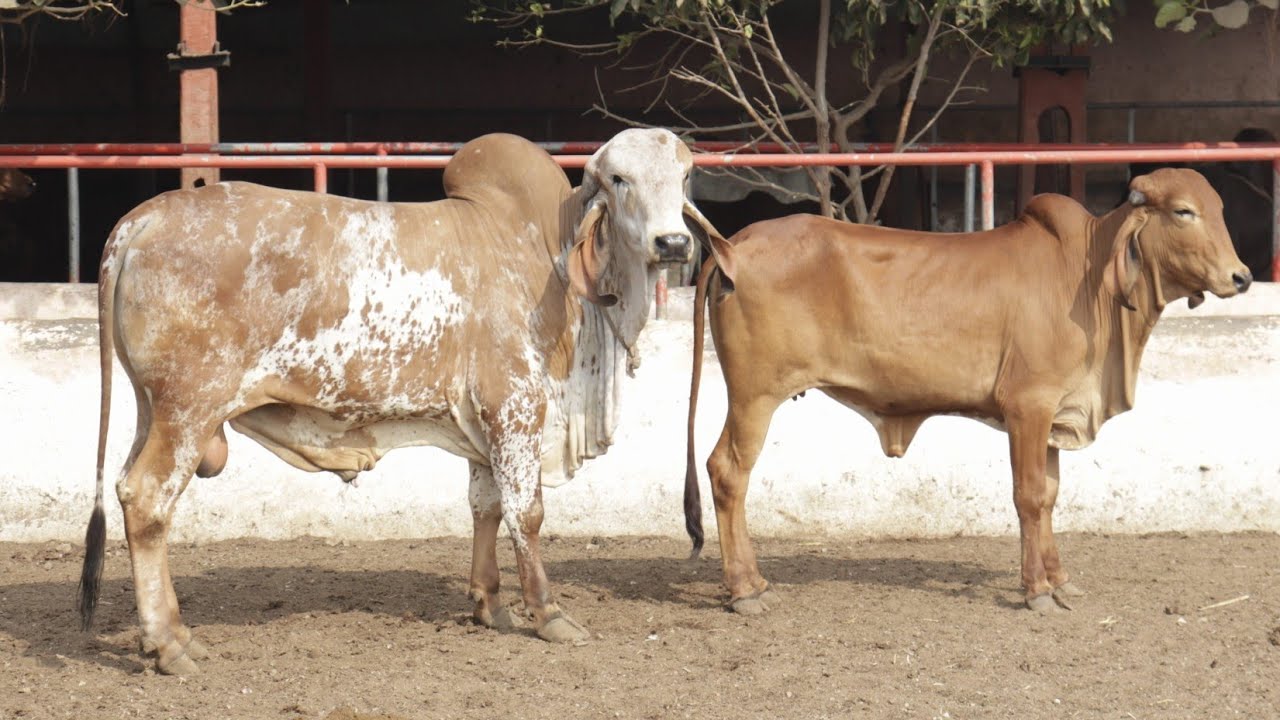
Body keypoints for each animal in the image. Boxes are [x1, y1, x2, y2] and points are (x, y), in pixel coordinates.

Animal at [77, 129, 722, 675]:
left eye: (686, 175)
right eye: (619, 178)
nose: (672, 242)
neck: (545, 249)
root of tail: (142, 219)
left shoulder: (482, 426)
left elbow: (486, 508)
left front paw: (490, 605)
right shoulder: (515, 406)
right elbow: (527, 513)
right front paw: (549, 613)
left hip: (151, 408)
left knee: (130, 492)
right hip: (189, 410)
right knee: (147, 500)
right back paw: (168, 644)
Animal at [682, 168, 1251, 616]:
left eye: (1221, 210)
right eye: (1183, 211)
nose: (1241, 276)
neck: (1089, 279)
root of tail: (732, 248)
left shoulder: (1052, 417)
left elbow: (1049, 496)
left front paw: (1060, 581)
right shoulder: (1028, 407)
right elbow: (1028, 497)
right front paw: (1037, 591)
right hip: (754, 397)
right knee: (728, 472)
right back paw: (746, 589)